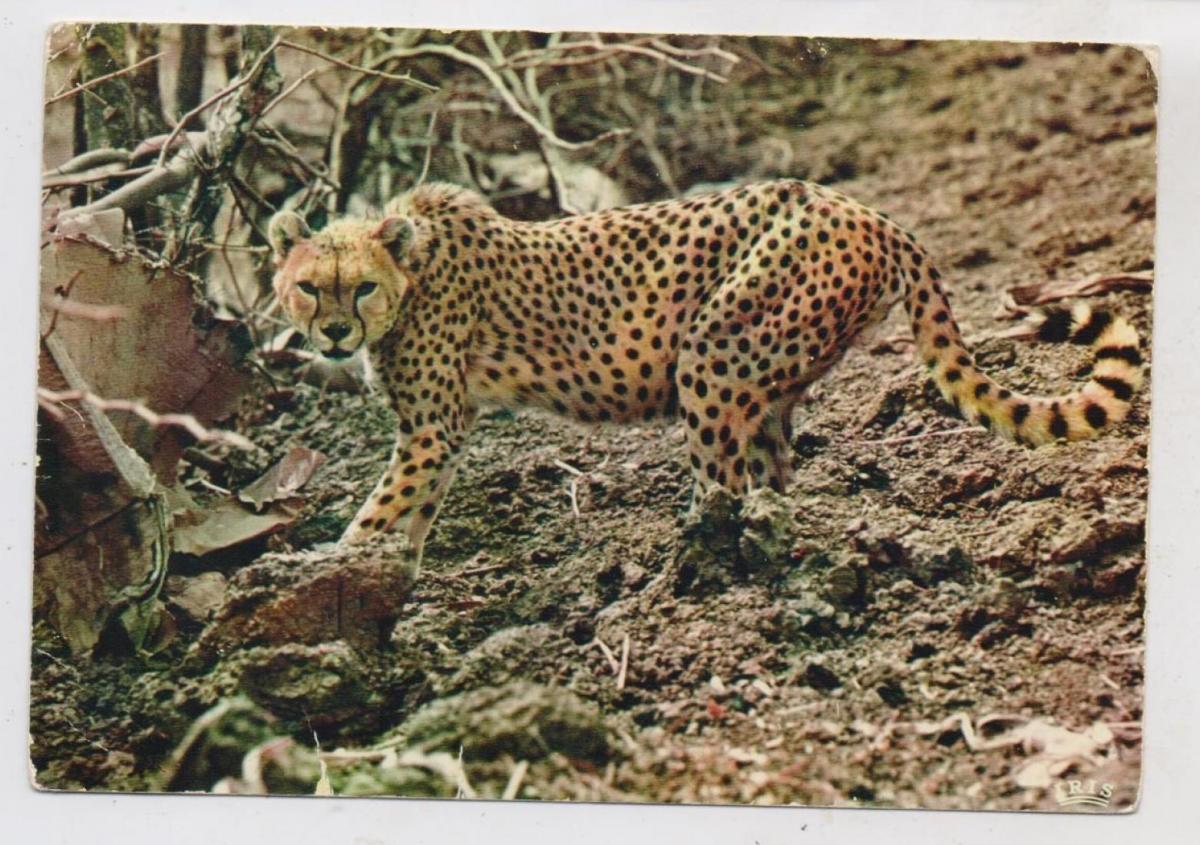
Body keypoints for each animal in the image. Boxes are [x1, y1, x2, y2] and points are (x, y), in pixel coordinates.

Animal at [268, 179, 1144, 578]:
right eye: (310, 286)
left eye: (361, 288)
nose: (336, 332)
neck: (410, 275)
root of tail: (869, 211)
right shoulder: (438, 433)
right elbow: (410, 516)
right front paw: (386, 582)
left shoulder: (430, 427)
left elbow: (383, 507)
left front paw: (326, 564)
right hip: (768, 374)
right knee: (773, 469)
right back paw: (766, 535)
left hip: (713, 354)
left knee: (720, 476)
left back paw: (690, 564)